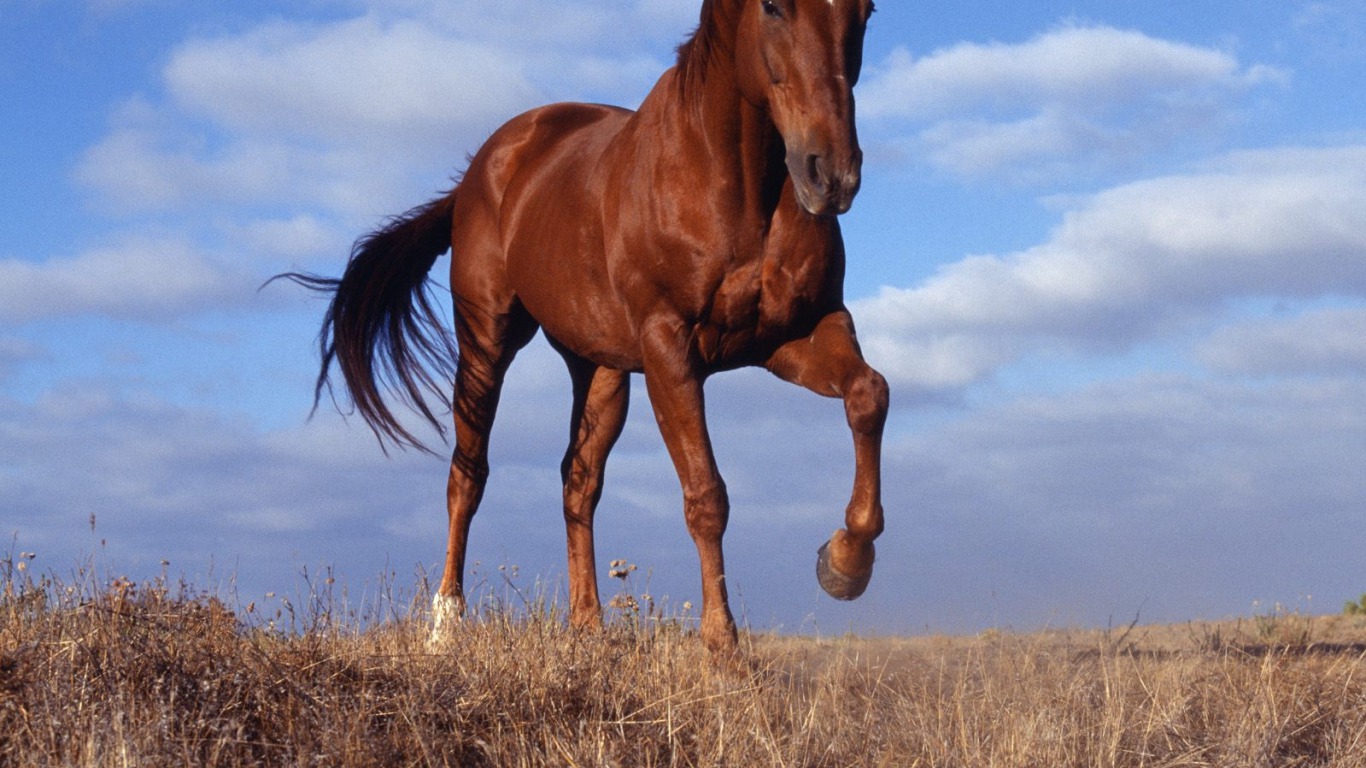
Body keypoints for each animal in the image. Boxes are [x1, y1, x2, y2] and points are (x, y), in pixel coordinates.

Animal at [279, 0, 886, 652]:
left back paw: (588, 626)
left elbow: (868, 395)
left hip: (599, 369)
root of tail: (479, 171)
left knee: (578, 479)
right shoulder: (670, 348)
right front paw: (722, 645)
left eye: (867, 11)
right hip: (487, 342)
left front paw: (845, 563)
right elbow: (706, 494)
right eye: (773, 7)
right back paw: (445, 624)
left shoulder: (793, 334)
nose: (832, 175)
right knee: (467, 475)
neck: (734, 186)